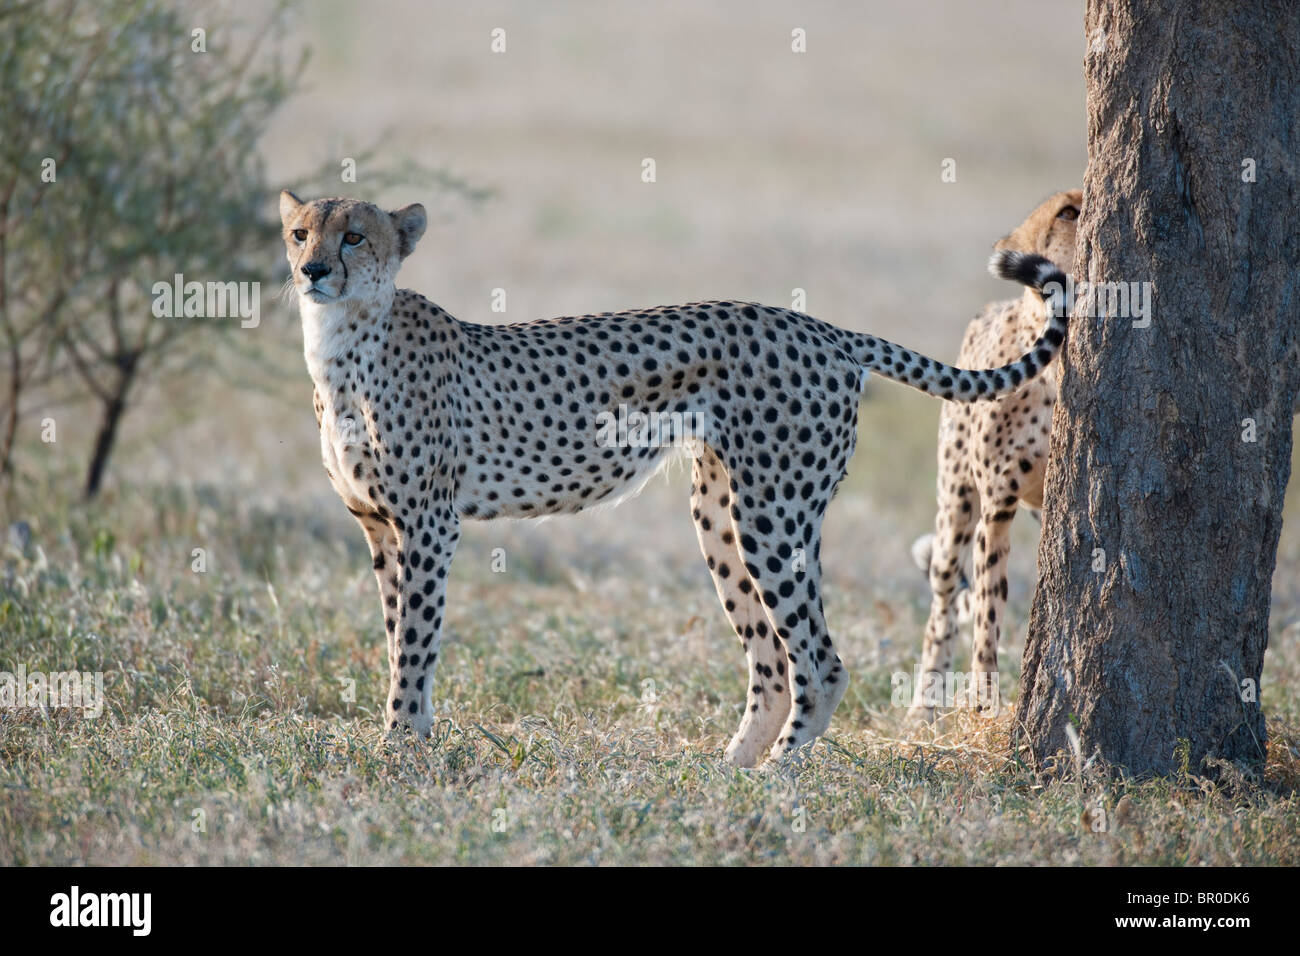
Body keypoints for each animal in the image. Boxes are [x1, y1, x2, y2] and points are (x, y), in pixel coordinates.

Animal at [278, 189, 1069, 766]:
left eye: (355, 236)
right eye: (300, 233)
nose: (312, 272)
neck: (341, 344)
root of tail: (822, 328)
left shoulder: (428, 526)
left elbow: (415, 641)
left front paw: (398, 748)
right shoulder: (380, 527)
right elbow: (395, 635)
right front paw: (407, 739)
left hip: (772, 513)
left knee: (820, 661)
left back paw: (779, 774)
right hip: (722, 513)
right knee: (771, 660)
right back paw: (730, 772)